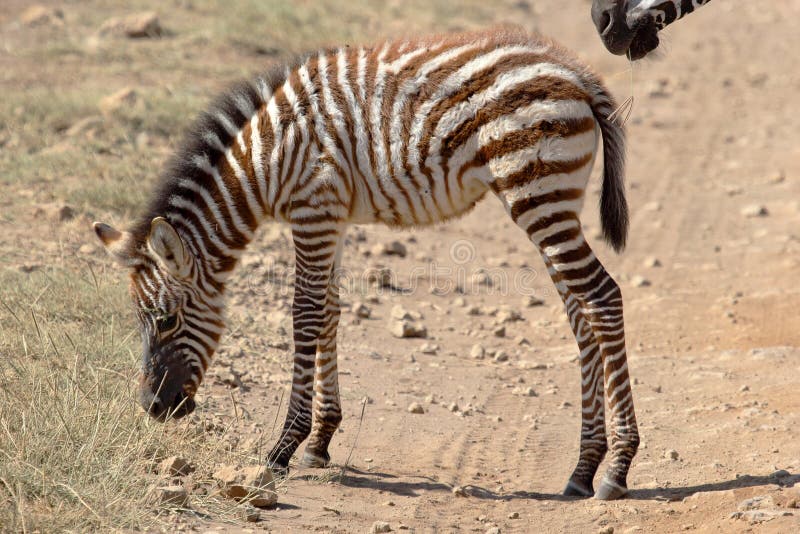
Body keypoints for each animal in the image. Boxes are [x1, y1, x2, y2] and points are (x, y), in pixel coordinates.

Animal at [93, 26, 639, 501]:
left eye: (166, 320)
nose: (153, 409)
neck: (265, 158)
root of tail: (577, 72)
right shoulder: (330, 216)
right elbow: (330, 314)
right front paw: (319, 442)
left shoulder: (313, 209)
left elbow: (305, 315)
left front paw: (284, 447)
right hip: (553, 199)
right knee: (580, 312)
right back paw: (583, 469)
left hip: (537, 191)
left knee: (602, 297)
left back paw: (616, 470)